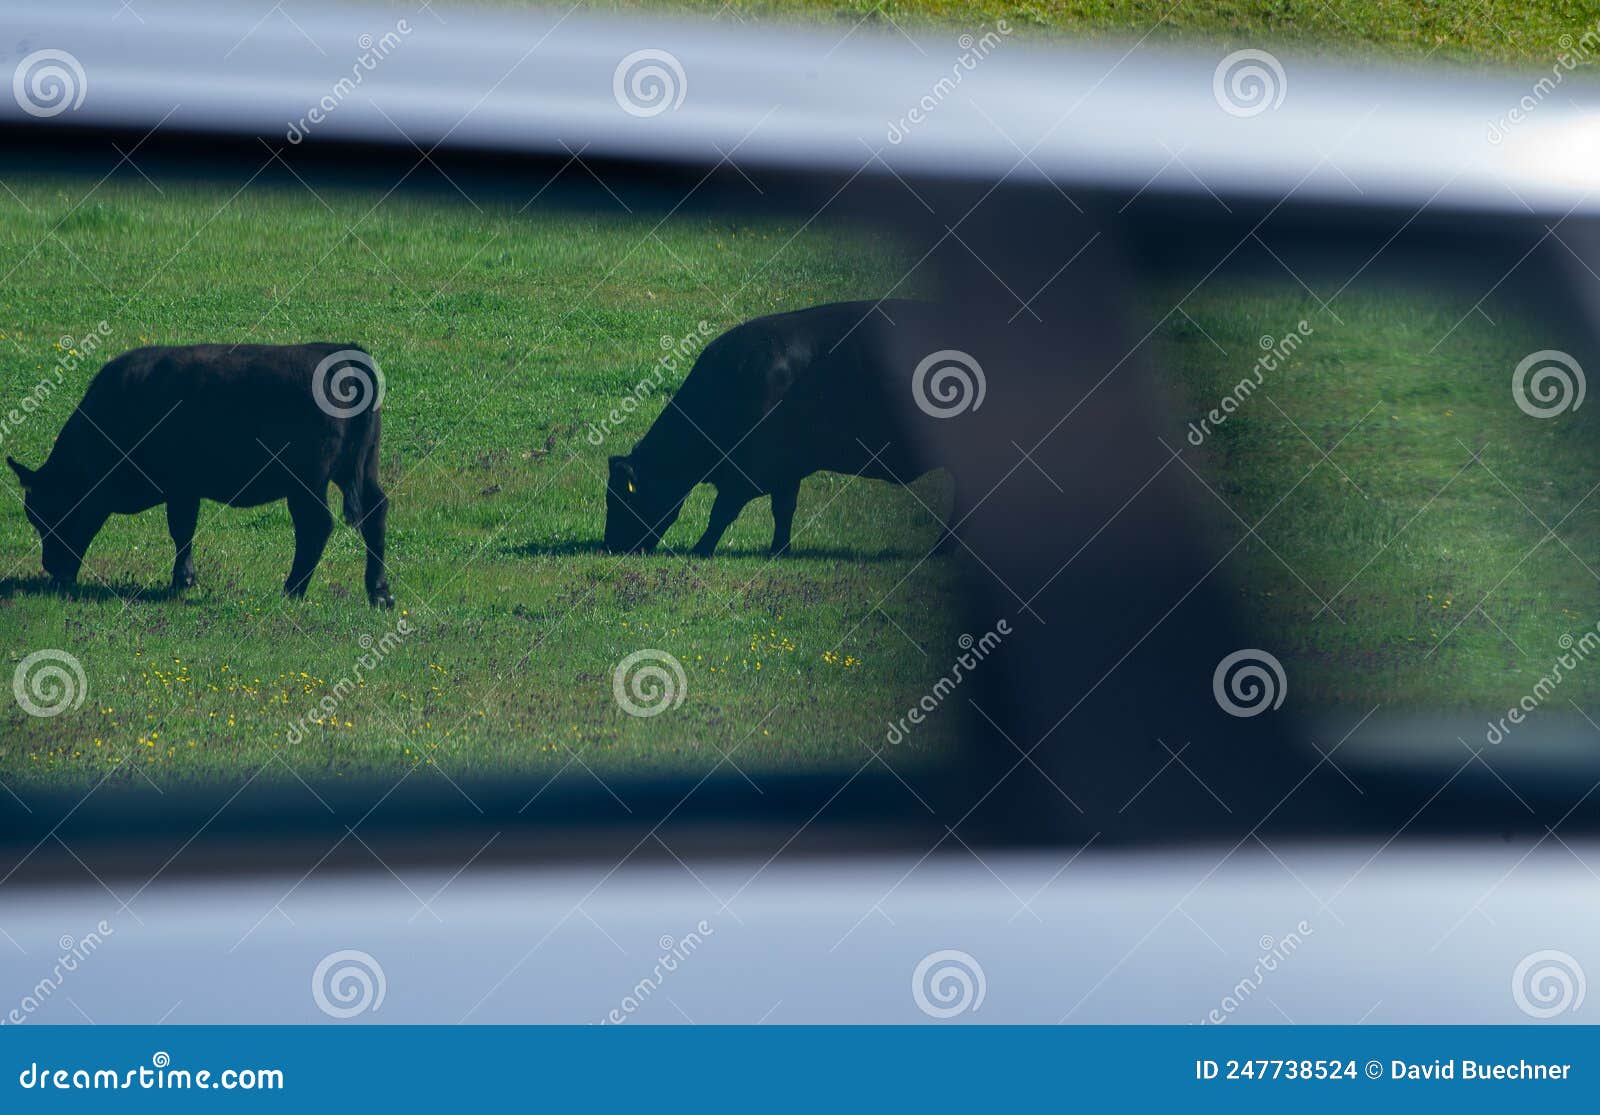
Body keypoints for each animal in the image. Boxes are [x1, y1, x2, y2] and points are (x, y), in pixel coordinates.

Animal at [6, 343, 394, 607]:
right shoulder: (186, 489)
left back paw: (293, 589)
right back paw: (380, 594)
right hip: (361, 471)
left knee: (315, 526)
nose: (53, 570)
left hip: (307, 482)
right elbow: (184, 532)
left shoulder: (180, 487)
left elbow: (180, 530)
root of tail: (341, 351)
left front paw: (182, 580)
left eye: (54, 513)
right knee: (375, 513)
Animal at [603, 300, 964, 557]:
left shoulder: (750, 469)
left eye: (622, 499)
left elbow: (722, 512)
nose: (611, 547)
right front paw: (780, 548)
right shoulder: (786, 468)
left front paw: (701, 549)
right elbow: (784, 509)